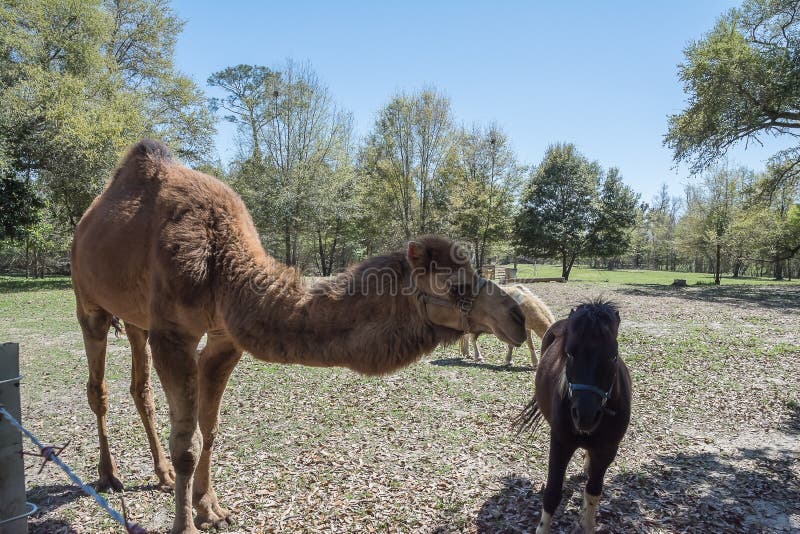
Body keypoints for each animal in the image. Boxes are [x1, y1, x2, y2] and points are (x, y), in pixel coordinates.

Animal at [70, 140, 527, 534]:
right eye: (456, 287)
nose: (517, 318)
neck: (222, 267)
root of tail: (86, 222)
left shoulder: (224, 339)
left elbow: (209, 429)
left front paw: (211, 509)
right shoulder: (173, 335)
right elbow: (187, 441)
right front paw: (185, 525)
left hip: (137, 319)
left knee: (140, 386)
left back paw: (162, 474)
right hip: (88, 300)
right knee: (98, 387)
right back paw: (108, 476)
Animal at [514, 299, 631, 533]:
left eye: (613, 356)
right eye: (569, 354)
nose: (586, 415)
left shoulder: (607, 450)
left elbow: (593, 491)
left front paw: (587, 524)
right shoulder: (561, 444)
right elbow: (552, 493)